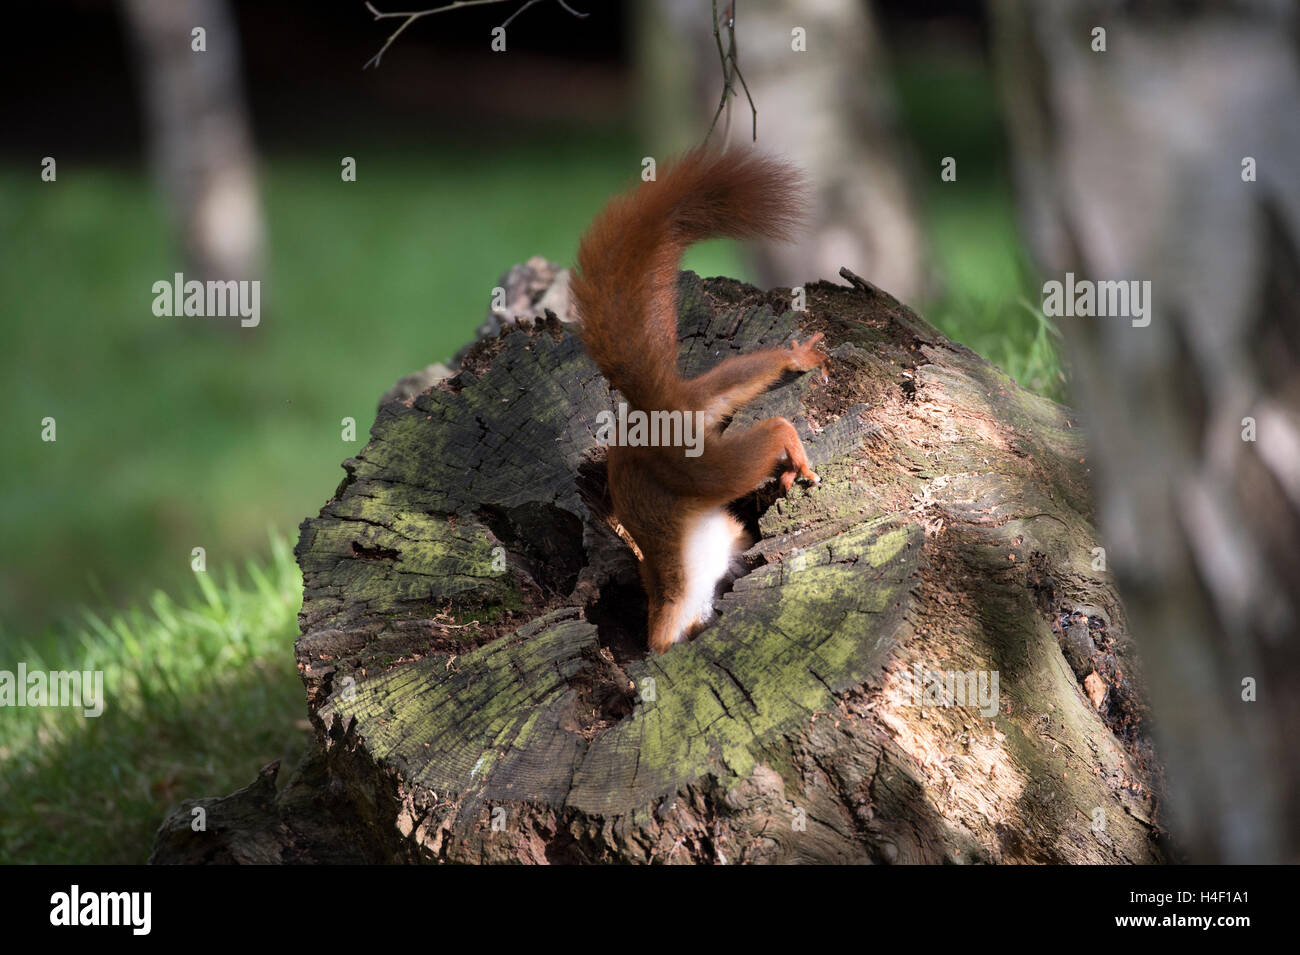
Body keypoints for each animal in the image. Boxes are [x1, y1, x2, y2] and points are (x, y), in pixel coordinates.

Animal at [572, 147, 827, 655]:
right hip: (703, 405)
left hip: (694, 465)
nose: (688, 635)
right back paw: (795, 358)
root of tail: (650, 415)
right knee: (736, 382)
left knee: (764, 438)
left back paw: (793, 452)